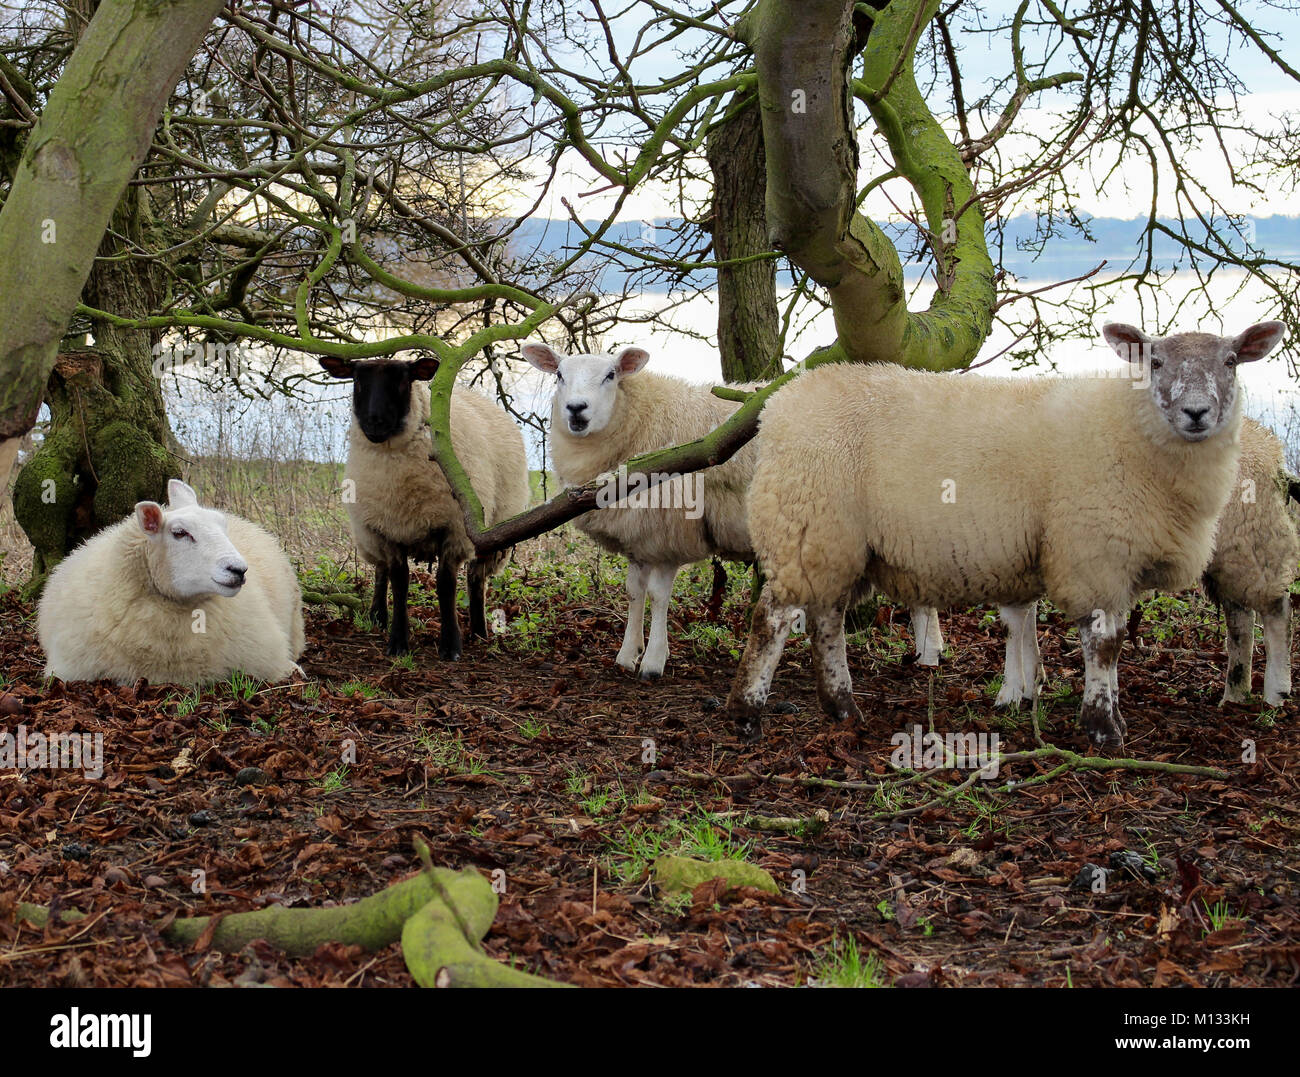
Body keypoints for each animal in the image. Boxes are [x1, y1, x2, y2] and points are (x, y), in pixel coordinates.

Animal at [320, 356, 529, 658]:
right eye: (357, 380)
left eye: (403, 380)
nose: (375, 422)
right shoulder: (389, 529)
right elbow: (399, 581)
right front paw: (398, 642)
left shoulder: (455, 530)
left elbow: (446, 584)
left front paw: (451, 645)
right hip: (371, 533)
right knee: (381, 570)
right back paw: (377, 617)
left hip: (491, 530)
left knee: (476, 579)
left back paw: (479, 630)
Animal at [521, 342, 757, 679]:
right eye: (559, 375)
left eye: (610, 375)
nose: (576, 408)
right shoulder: (637, 534)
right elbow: (635, 591)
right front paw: (627, 654)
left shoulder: (668, 534)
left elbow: (657, 595)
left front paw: (654, 661)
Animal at [725, 321, 1287, 748]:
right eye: (1156, 363)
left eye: (1231, 361)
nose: (1197, 413)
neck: (1133, 431)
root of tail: (777, 409)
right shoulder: (1093, 554)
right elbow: (1104, 644)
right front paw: (1102, 728)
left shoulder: (1113, 563)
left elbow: (1110, 643)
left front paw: (1106, 713)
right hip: (807, 521)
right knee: (773, 618)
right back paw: (747, 712)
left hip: (836, 541)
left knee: (826, 619)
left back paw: (841, 706)